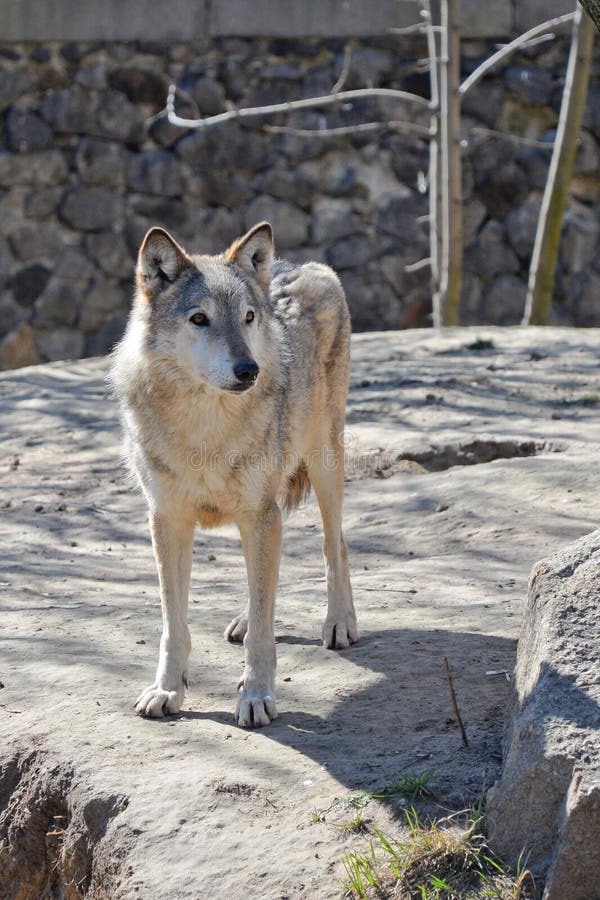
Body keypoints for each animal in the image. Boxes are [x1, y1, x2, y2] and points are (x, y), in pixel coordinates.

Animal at [110, 222, 358, 728]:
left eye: (247, 317)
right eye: (199, 319)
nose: (249, 369)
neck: (204, 432)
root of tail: (299, 264)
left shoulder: (259, 514)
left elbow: (263, 633)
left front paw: (256, 696)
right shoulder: (167, 520)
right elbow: (174, 624)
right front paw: (166, 690)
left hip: (323, 463)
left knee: (334, 544)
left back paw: (339, 622)